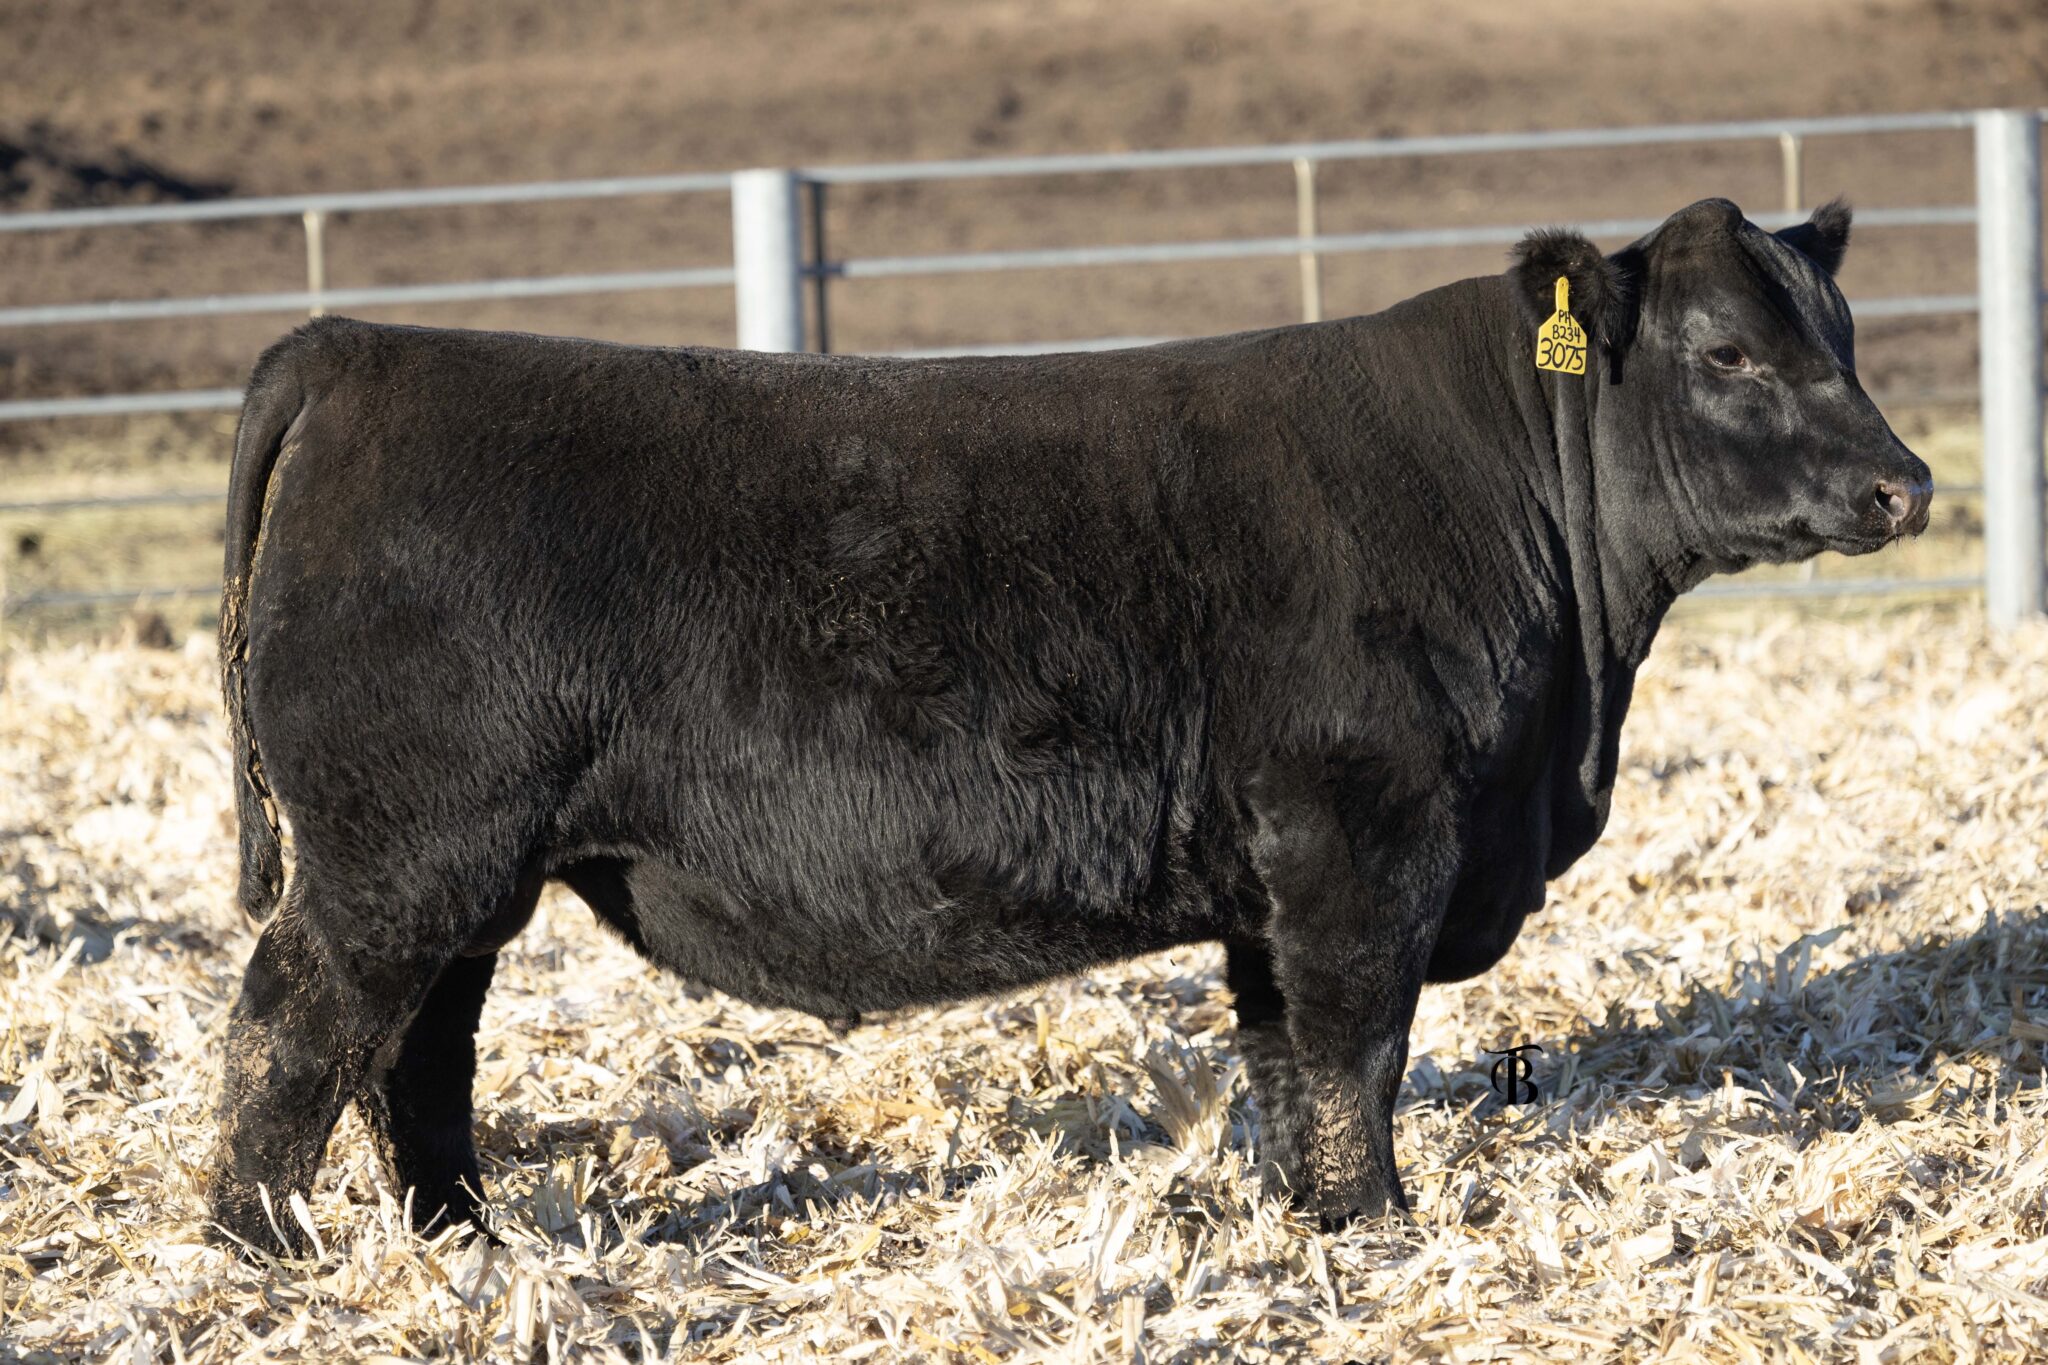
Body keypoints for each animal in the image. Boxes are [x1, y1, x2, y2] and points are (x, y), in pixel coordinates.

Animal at [208, 196, 1930, 1252]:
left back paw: (462, 1245)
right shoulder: (1367, 832)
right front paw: (1382, 1227)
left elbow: (1282, 1055)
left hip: (463, 869)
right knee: (297, 1025)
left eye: (1842, 335)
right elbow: (1360, 1045)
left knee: (418, 1051)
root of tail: (359, 348)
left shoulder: (1276, 869)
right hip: (397, 850)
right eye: (1726, 351)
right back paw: (259, 1252)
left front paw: (1304, 1225)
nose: (1903, 485)